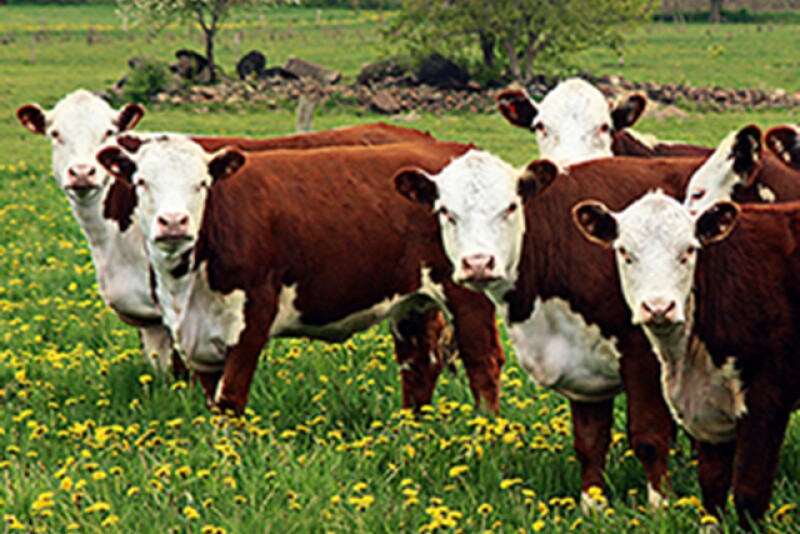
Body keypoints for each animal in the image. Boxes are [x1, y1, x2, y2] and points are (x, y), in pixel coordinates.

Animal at [96, 136, 505, 415]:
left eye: (202, 183)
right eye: (142, 182)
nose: (174, 222)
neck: (186, 285)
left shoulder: (251, 321)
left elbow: (230, 401)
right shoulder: (196, 339)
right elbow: (214, 402)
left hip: (468, 291)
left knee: (482, 362)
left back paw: (485, 434)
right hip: (413, 302)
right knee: (419, 365)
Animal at [394, 151, 709, 513]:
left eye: (510, 207)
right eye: (446, 211)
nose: (478, 263)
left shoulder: (643, 351)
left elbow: (650, 437)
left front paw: (659, 508)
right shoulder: (583, 367)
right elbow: (589, 442)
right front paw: (592, 507)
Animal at [572, 191, 800, 528]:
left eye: (689, 250)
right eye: (624, 251)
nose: (658, 307)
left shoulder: (767, 396)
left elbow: (749, 494)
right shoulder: (708, 407)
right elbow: (712, 488)